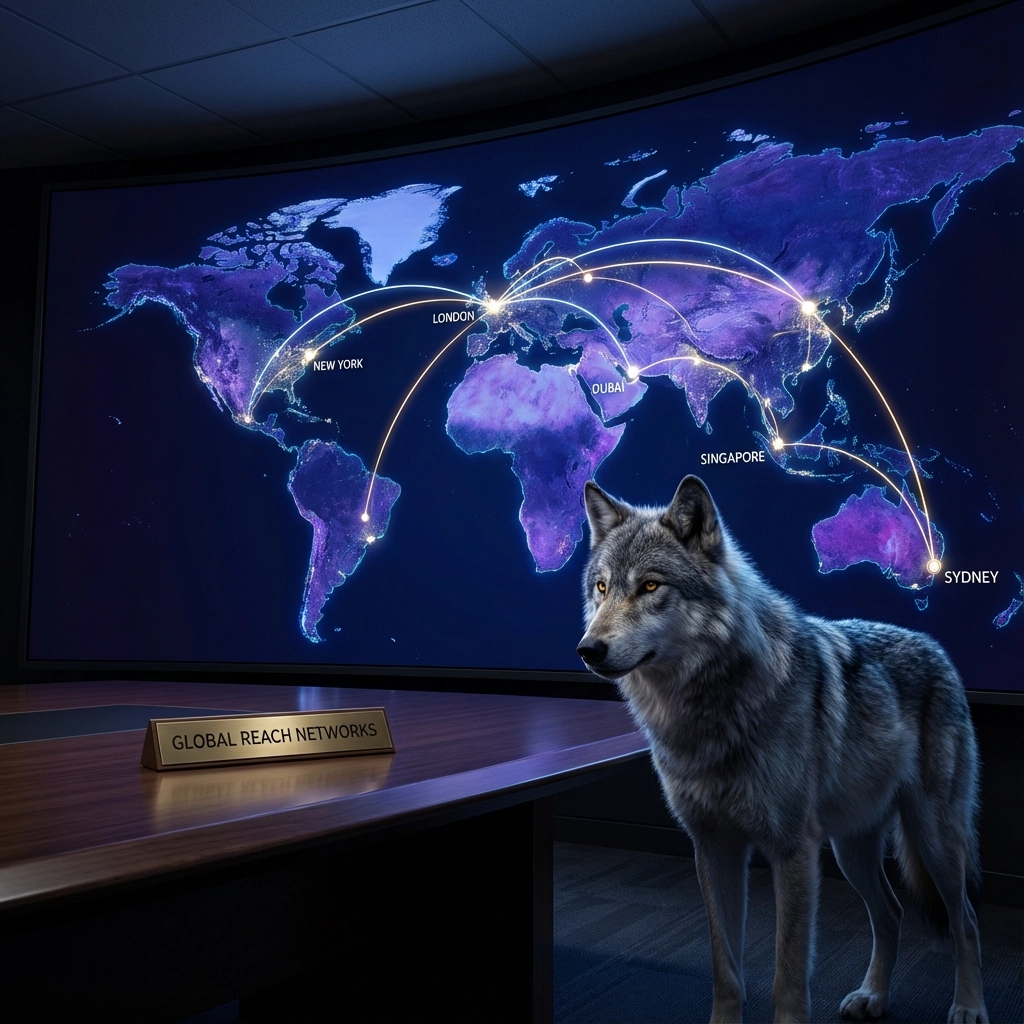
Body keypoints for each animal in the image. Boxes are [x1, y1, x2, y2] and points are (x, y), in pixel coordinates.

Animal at [576, 475, 987, 1024]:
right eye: (602, 588)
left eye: (650, 586)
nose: (588, 649)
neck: (706, 714)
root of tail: (936, 646)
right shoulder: (714, 848)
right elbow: (725, 969)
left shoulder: (792, 851)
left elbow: (787, 976)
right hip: (850, 850)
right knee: (892, 913)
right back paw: (873, 997)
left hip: (933, 840)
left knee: (965, 918)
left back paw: (968, 1005)